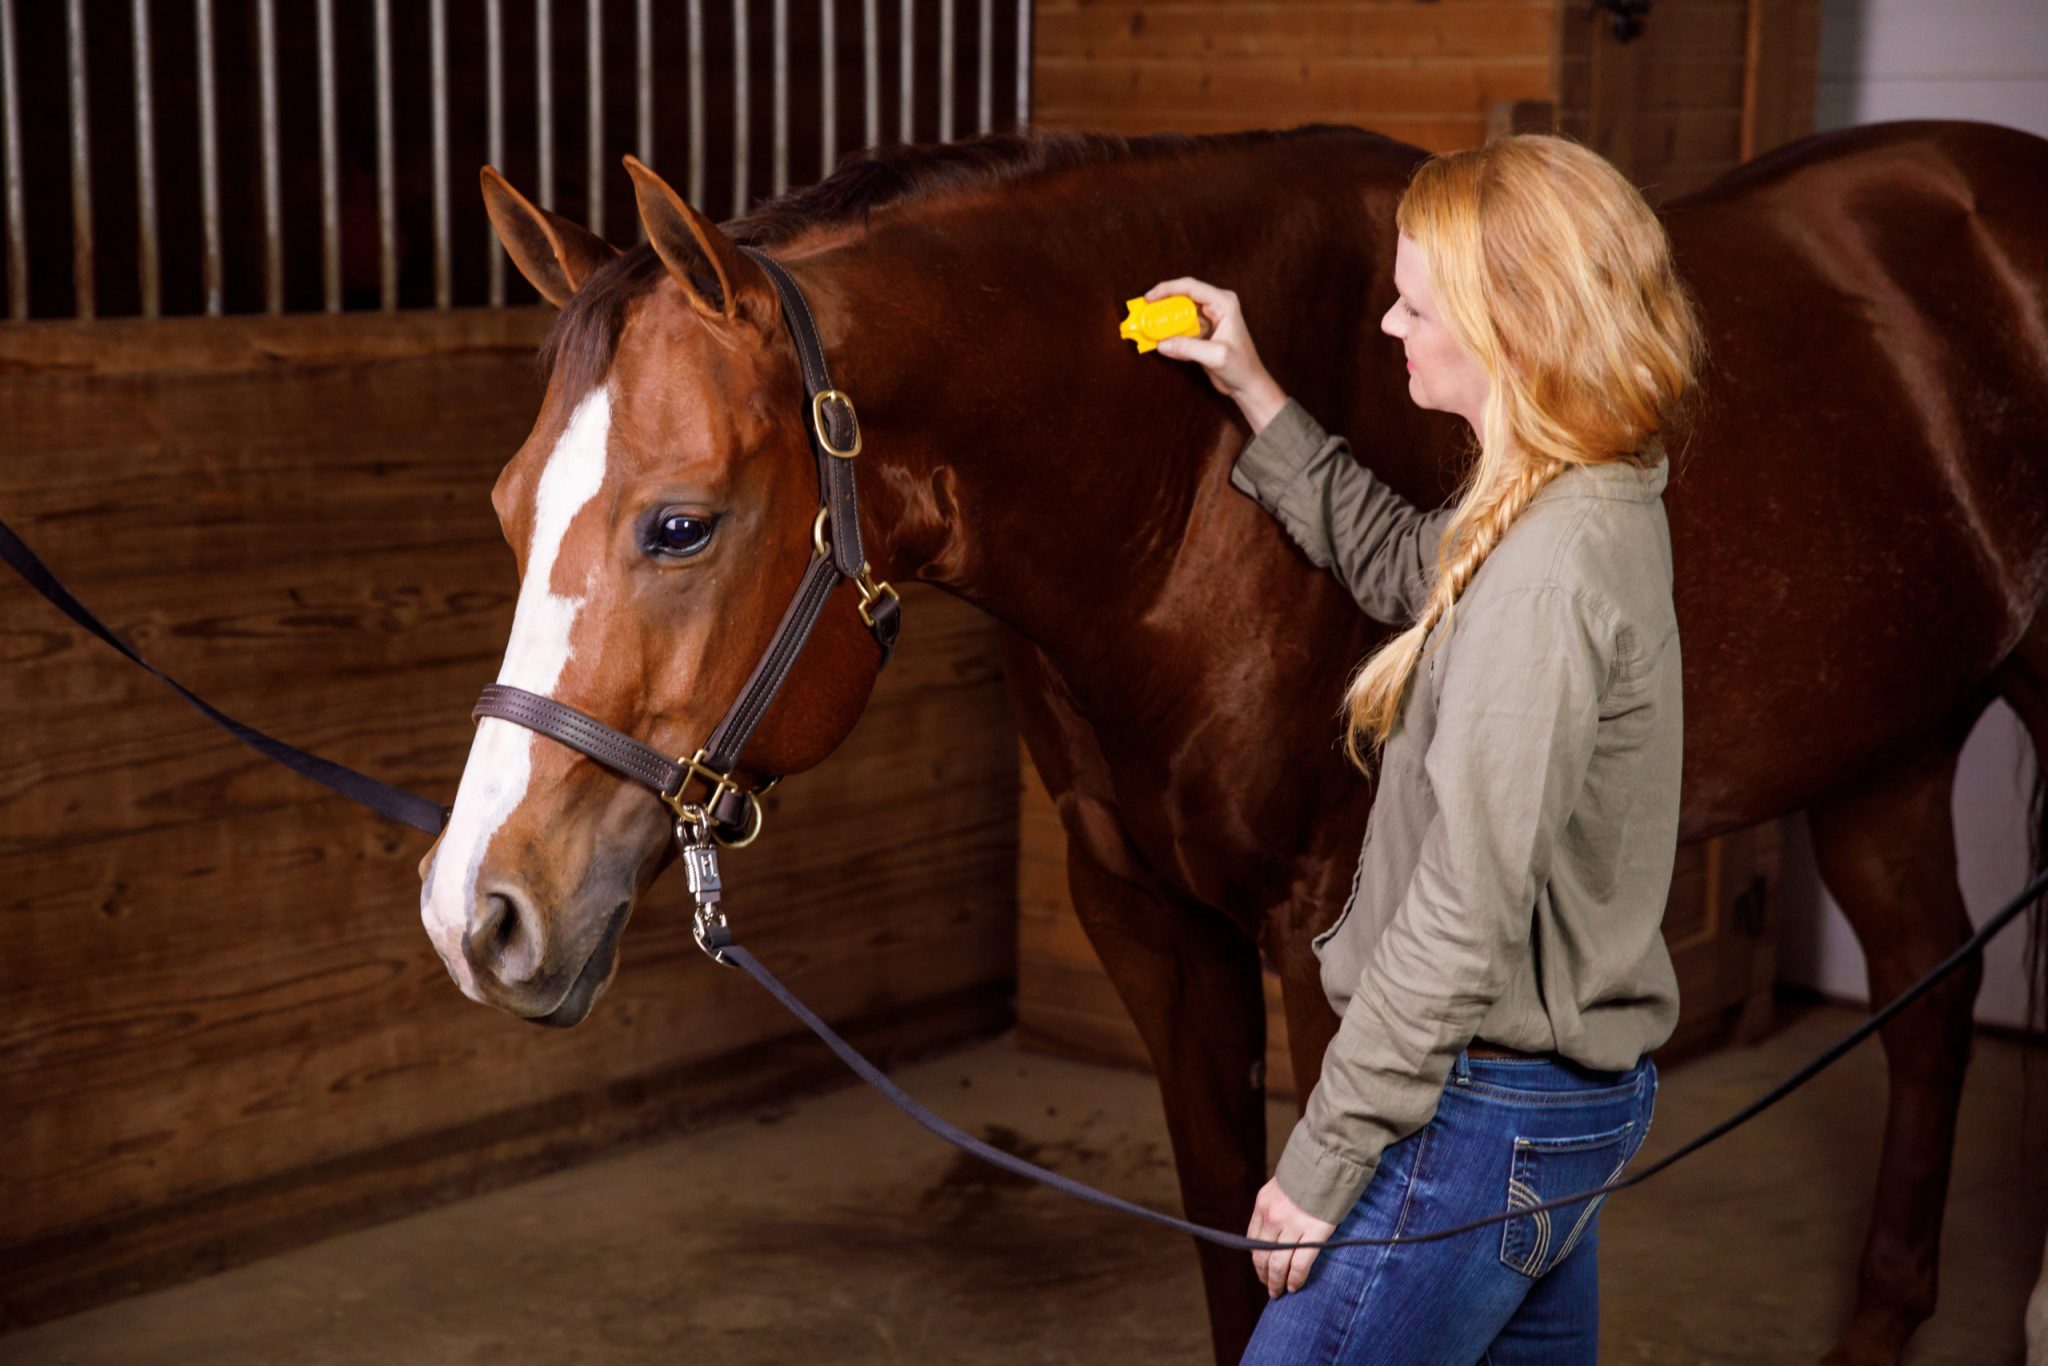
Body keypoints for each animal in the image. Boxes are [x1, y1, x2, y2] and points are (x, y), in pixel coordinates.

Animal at [415, 120, 2048, 1363]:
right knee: (1929, 1001)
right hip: (1885, 760)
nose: (475, 914)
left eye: (678, 524)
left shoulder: (1331, 951)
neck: (1178, 499)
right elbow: (1220, 1249)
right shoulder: (1148, 926)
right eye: (502, 506)